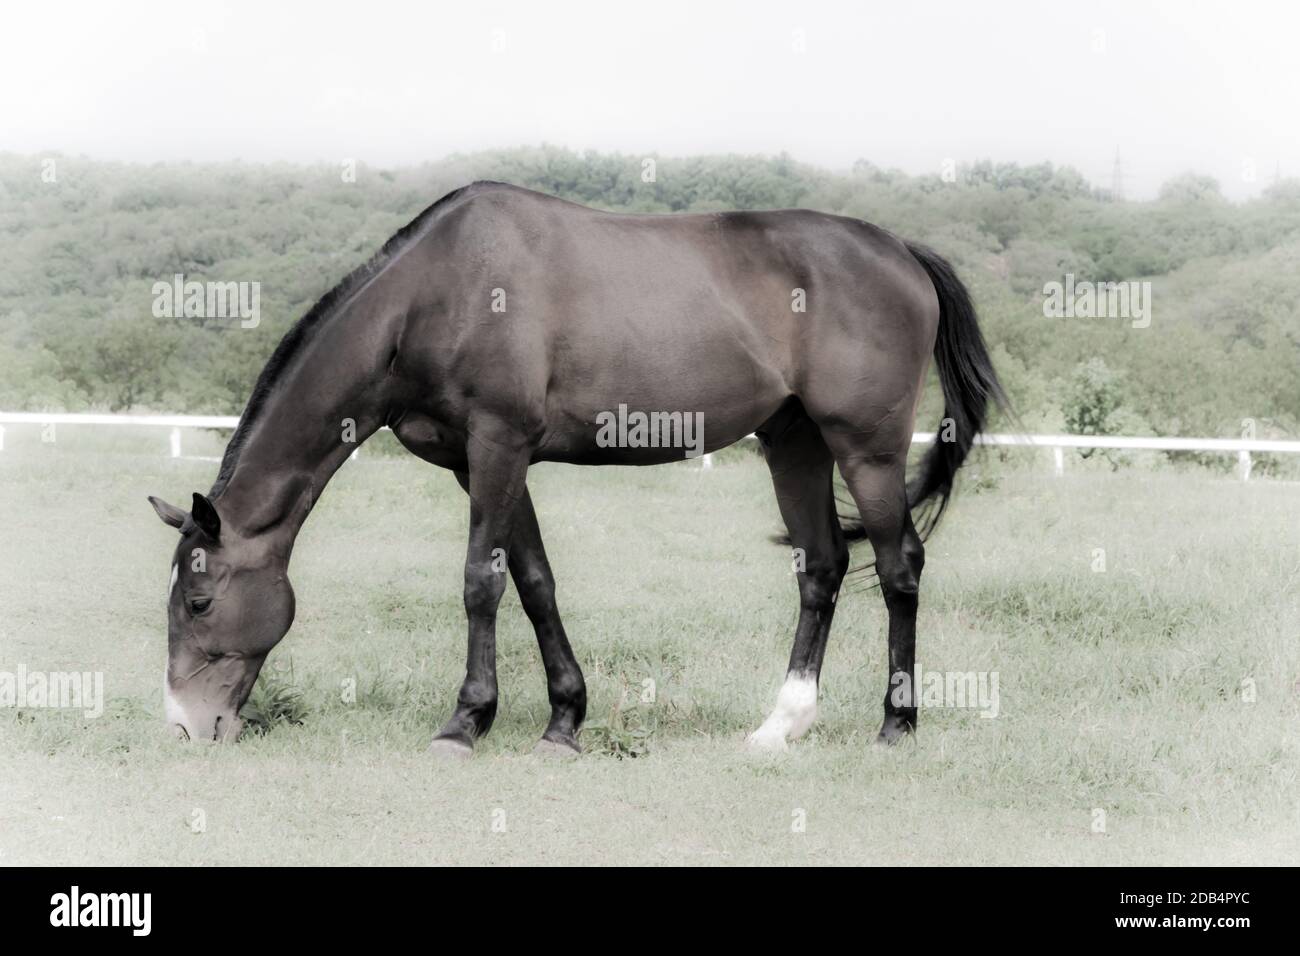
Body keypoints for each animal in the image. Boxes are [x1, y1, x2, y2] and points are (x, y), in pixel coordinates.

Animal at [149, 181, 1006, 754]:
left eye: (197, 600)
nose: (186, 726)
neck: (437, 293)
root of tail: (903, 253)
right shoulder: (482, 460)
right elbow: (533, 581)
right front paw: (564, 718)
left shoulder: (498, 443)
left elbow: (479, 582)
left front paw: (466, 721)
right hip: (793, 440)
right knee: (822, 567)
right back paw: (781, 723)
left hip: (866, 447)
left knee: (898, 567)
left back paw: (896, 724)